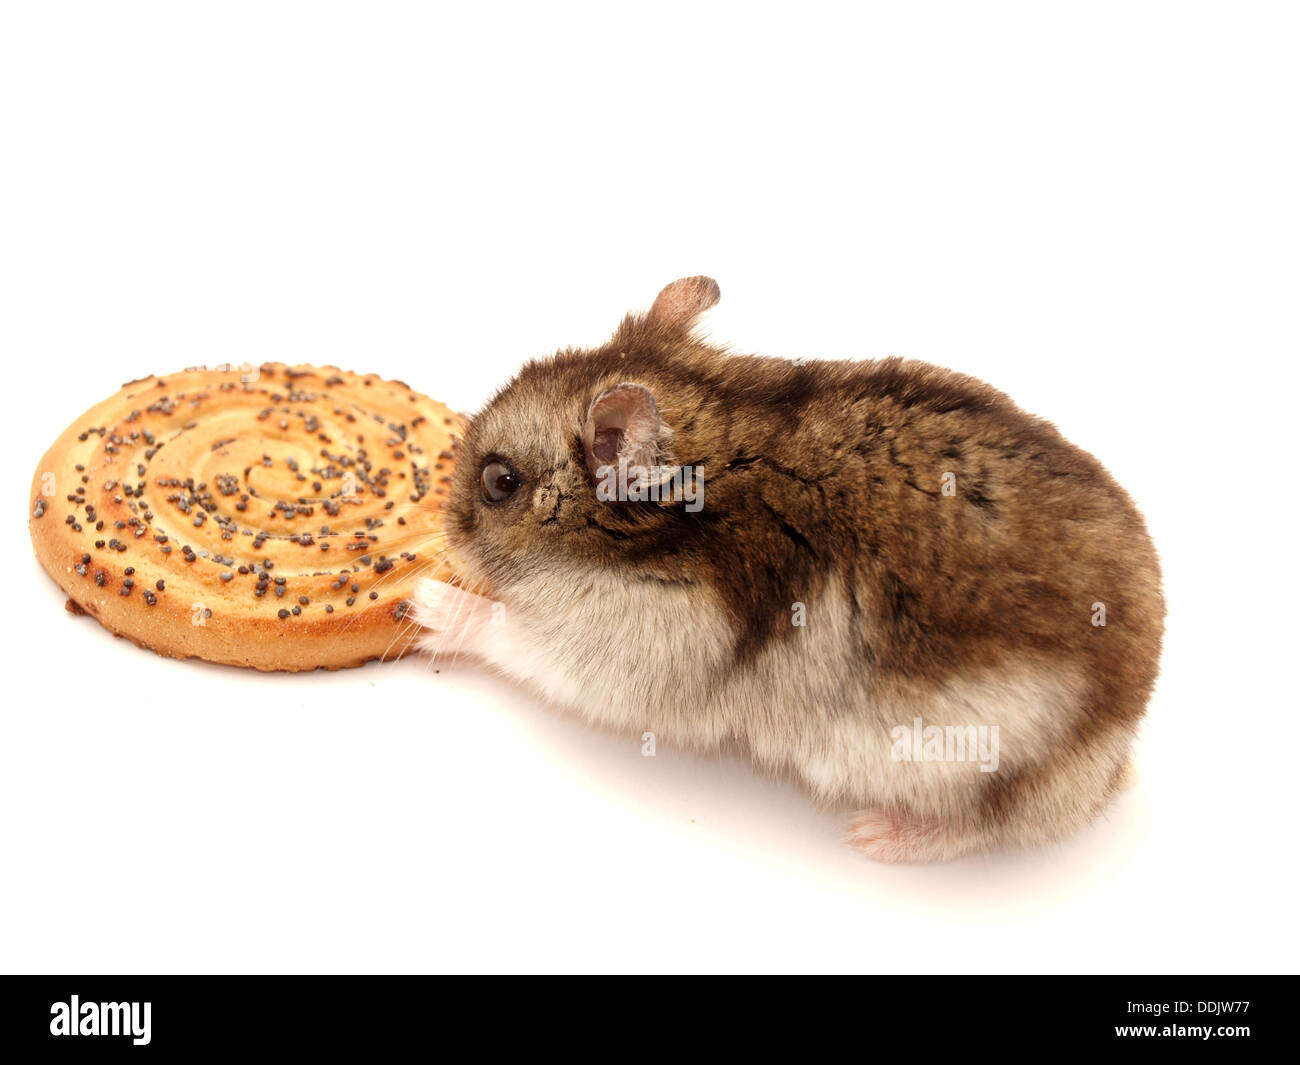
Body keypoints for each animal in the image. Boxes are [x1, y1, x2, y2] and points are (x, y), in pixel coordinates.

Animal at [414, 277, 1165, 863]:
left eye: (500, 482)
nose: (443, 530)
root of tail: (1113, 752)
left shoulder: (624, 646)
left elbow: (513, 633)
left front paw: (426, 602)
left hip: (978, 761)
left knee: (985, 824)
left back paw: (874, 836)